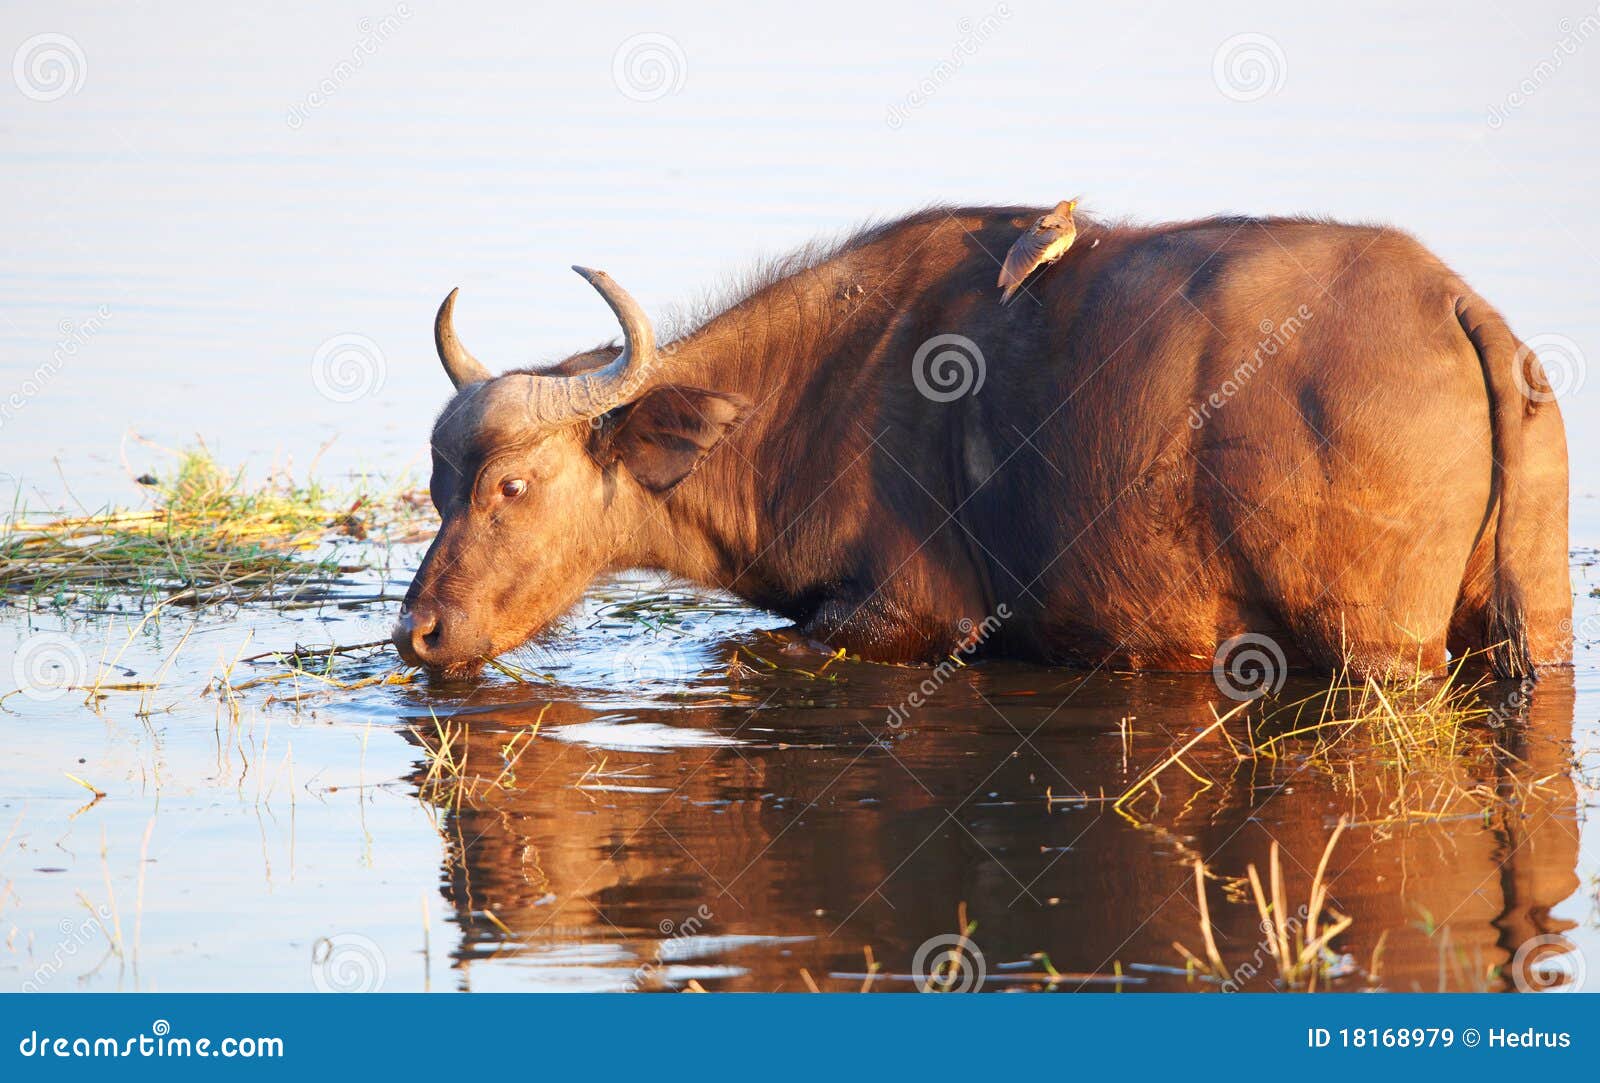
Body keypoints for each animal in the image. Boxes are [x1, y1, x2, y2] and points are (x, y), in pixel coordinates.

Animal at [392, 206, 1571, 681]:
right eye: (438, 488)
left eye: (509, 484)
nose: (420, 636)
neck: (816, 394)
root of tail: (1454, 301)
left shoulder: (904, 620)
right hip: (1530, 624)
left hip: (1378, 647)